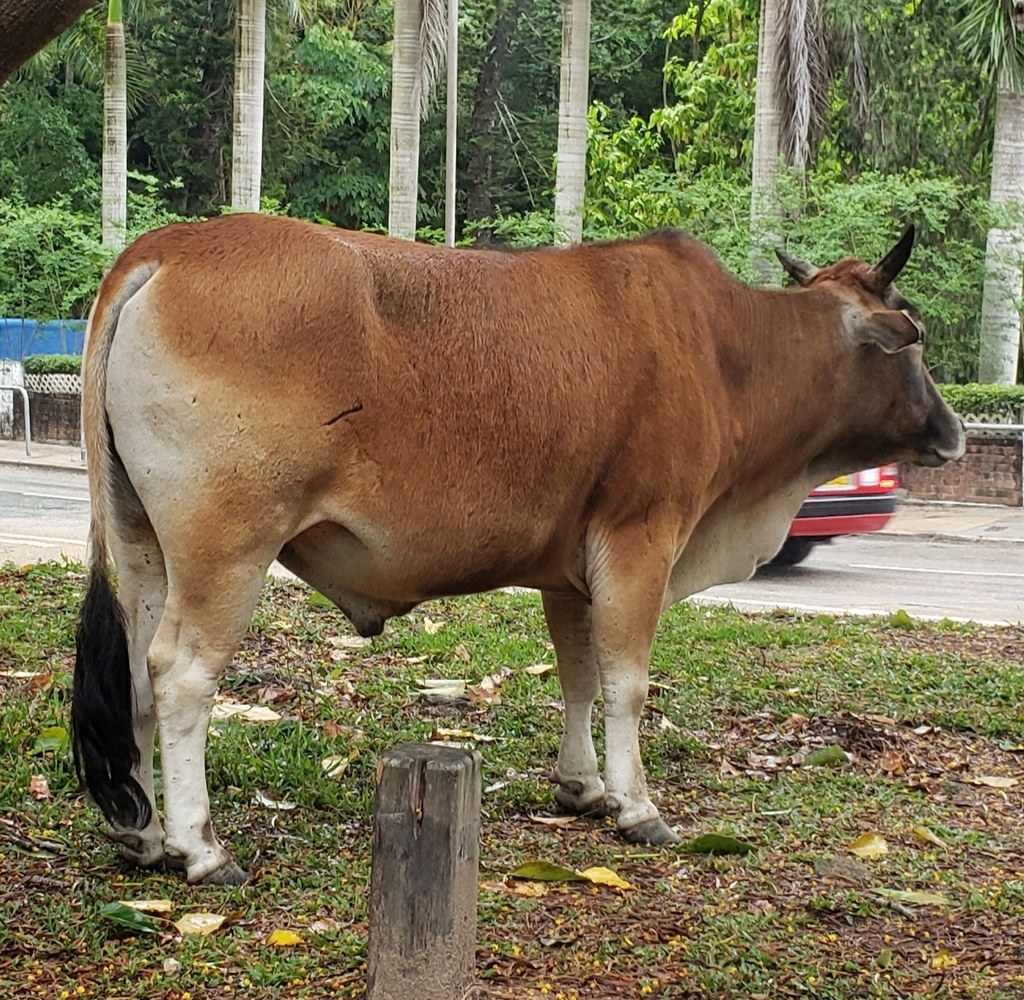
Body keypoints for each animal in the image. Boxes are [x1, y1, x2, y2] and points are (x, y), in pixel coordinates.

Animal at [72, 215, 964, 884]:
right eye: (915, 338)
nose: (953, 431)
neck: (727, 348)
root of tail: (167, 248)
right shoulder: (640, 540)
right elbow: (626, 684)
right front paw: (638, 806)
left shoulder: (572, 573)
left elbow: (579, 678)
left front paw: (583, 787)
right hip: (229, 550)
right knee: (181, 677)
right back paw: (199, 847)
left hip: (148, 548)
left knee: (138, 673)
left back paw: (143, 835)